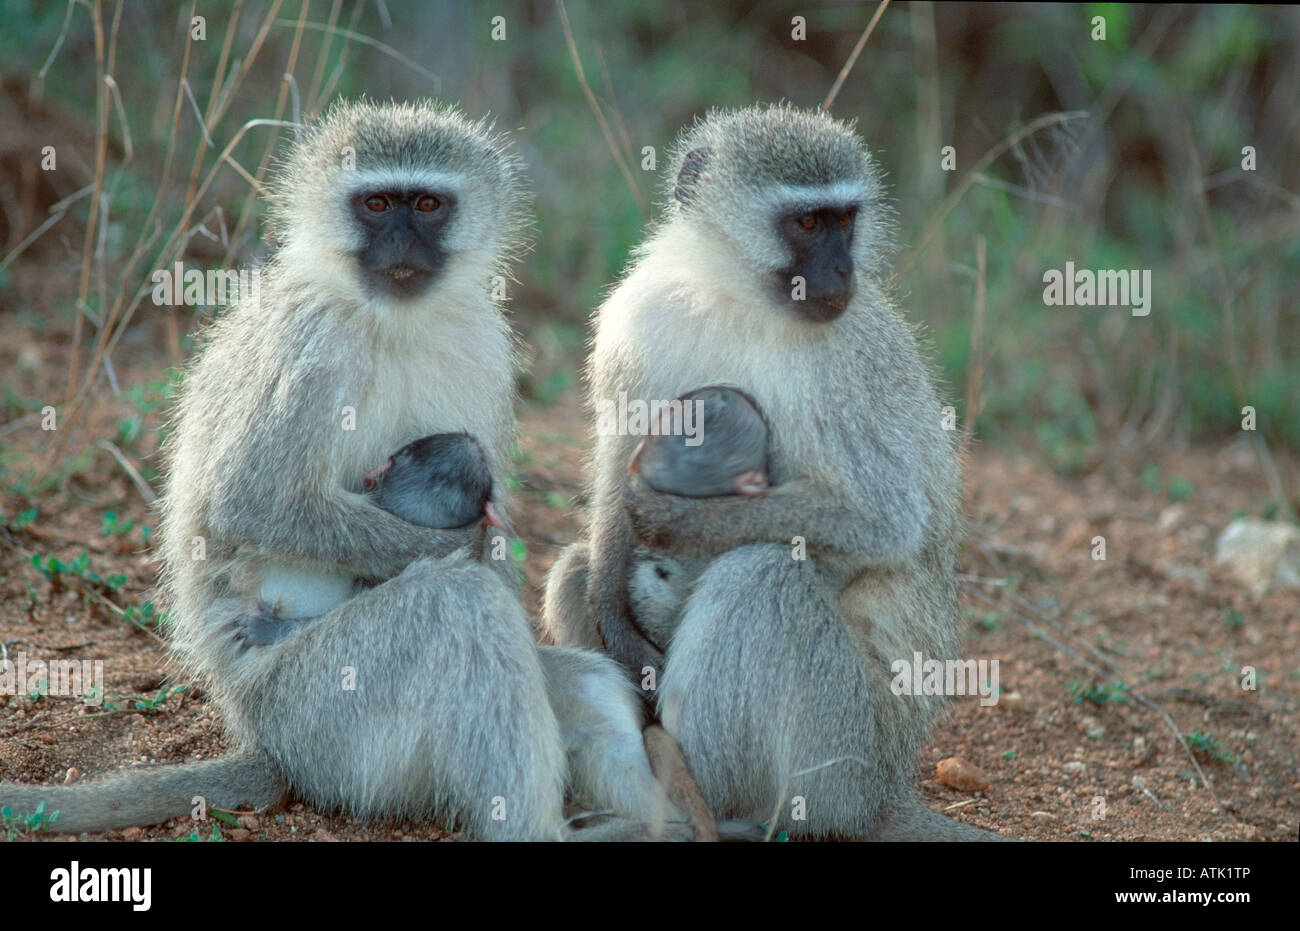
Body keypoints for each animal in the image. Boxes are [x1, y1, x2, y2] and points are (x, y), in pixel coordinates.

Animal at [0, 99, 704, 841]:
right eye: (375, 204)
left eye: (426, 204)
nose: (400, 245)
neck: (391, 319)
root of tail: (261, 738)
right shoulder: (310, 342)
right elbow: (250, 503)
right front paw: (455, 545)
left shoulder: (483, 338)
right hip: (314, 714)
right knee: (456, 606)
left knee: (583, 681)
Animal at [542, 103, 1009, 841]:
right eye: (808, 223)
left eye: (845, 219)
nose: (842, 272)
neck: (733, 296)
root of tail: (885, 788)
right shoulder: (638, 315)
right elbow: (617, 462)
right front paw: (615, 614)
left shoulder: (840, 364)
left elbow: (884, 521)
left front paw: (684, 517)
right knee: (578, 568)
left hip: (839, 760)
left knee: (761, 575)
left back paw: (691, 807)